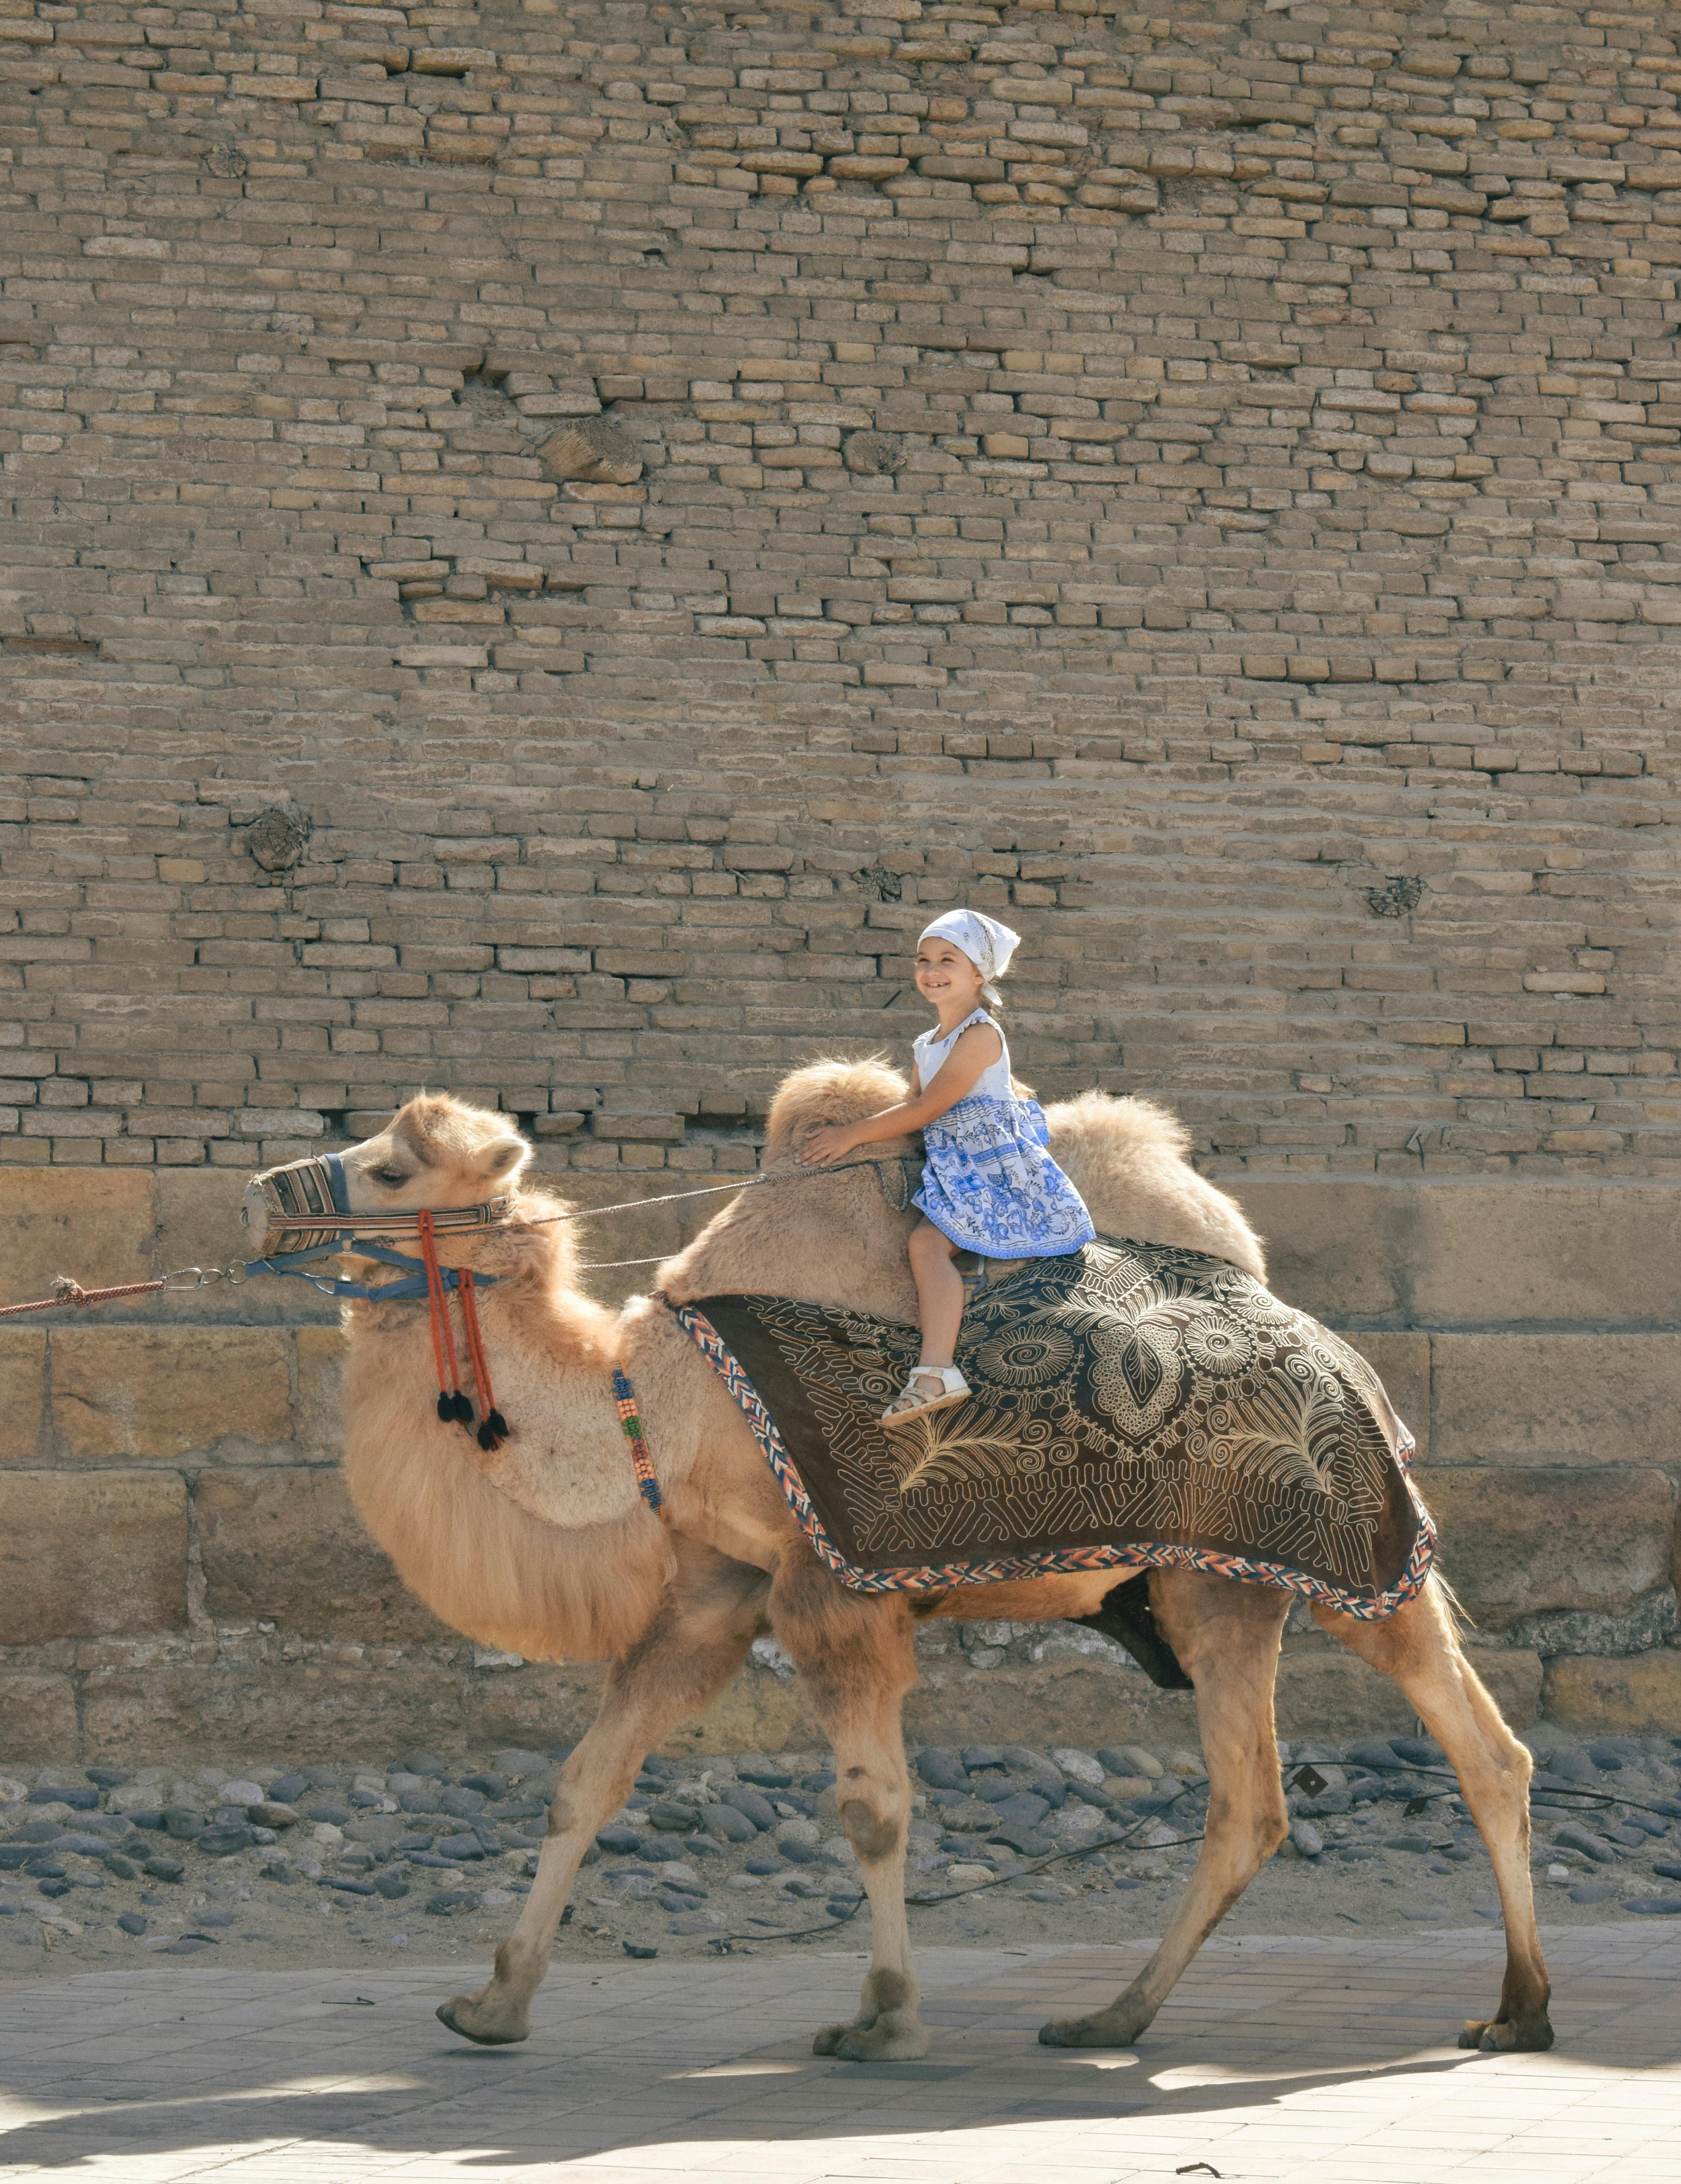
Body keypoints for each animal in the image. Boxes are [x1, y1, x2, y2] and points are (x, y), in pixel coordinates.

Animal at [282, 1067, 1552, 2063]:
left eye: (388, 1169)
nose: (265, 1196)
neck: (648, 1405)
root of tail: (1343, 1355)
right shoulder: (715, 1593)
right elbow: (586, 1781)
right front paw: (491, 2002)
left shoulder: (829, 1588)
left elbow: (873, 1808)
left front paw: (884, 2018)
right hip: (1213, 1589)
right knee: (1268, 1798)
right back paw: (1120, 2017)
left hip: (1337, 1551)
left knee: (1467, 1745)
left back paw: (1513, 2007)